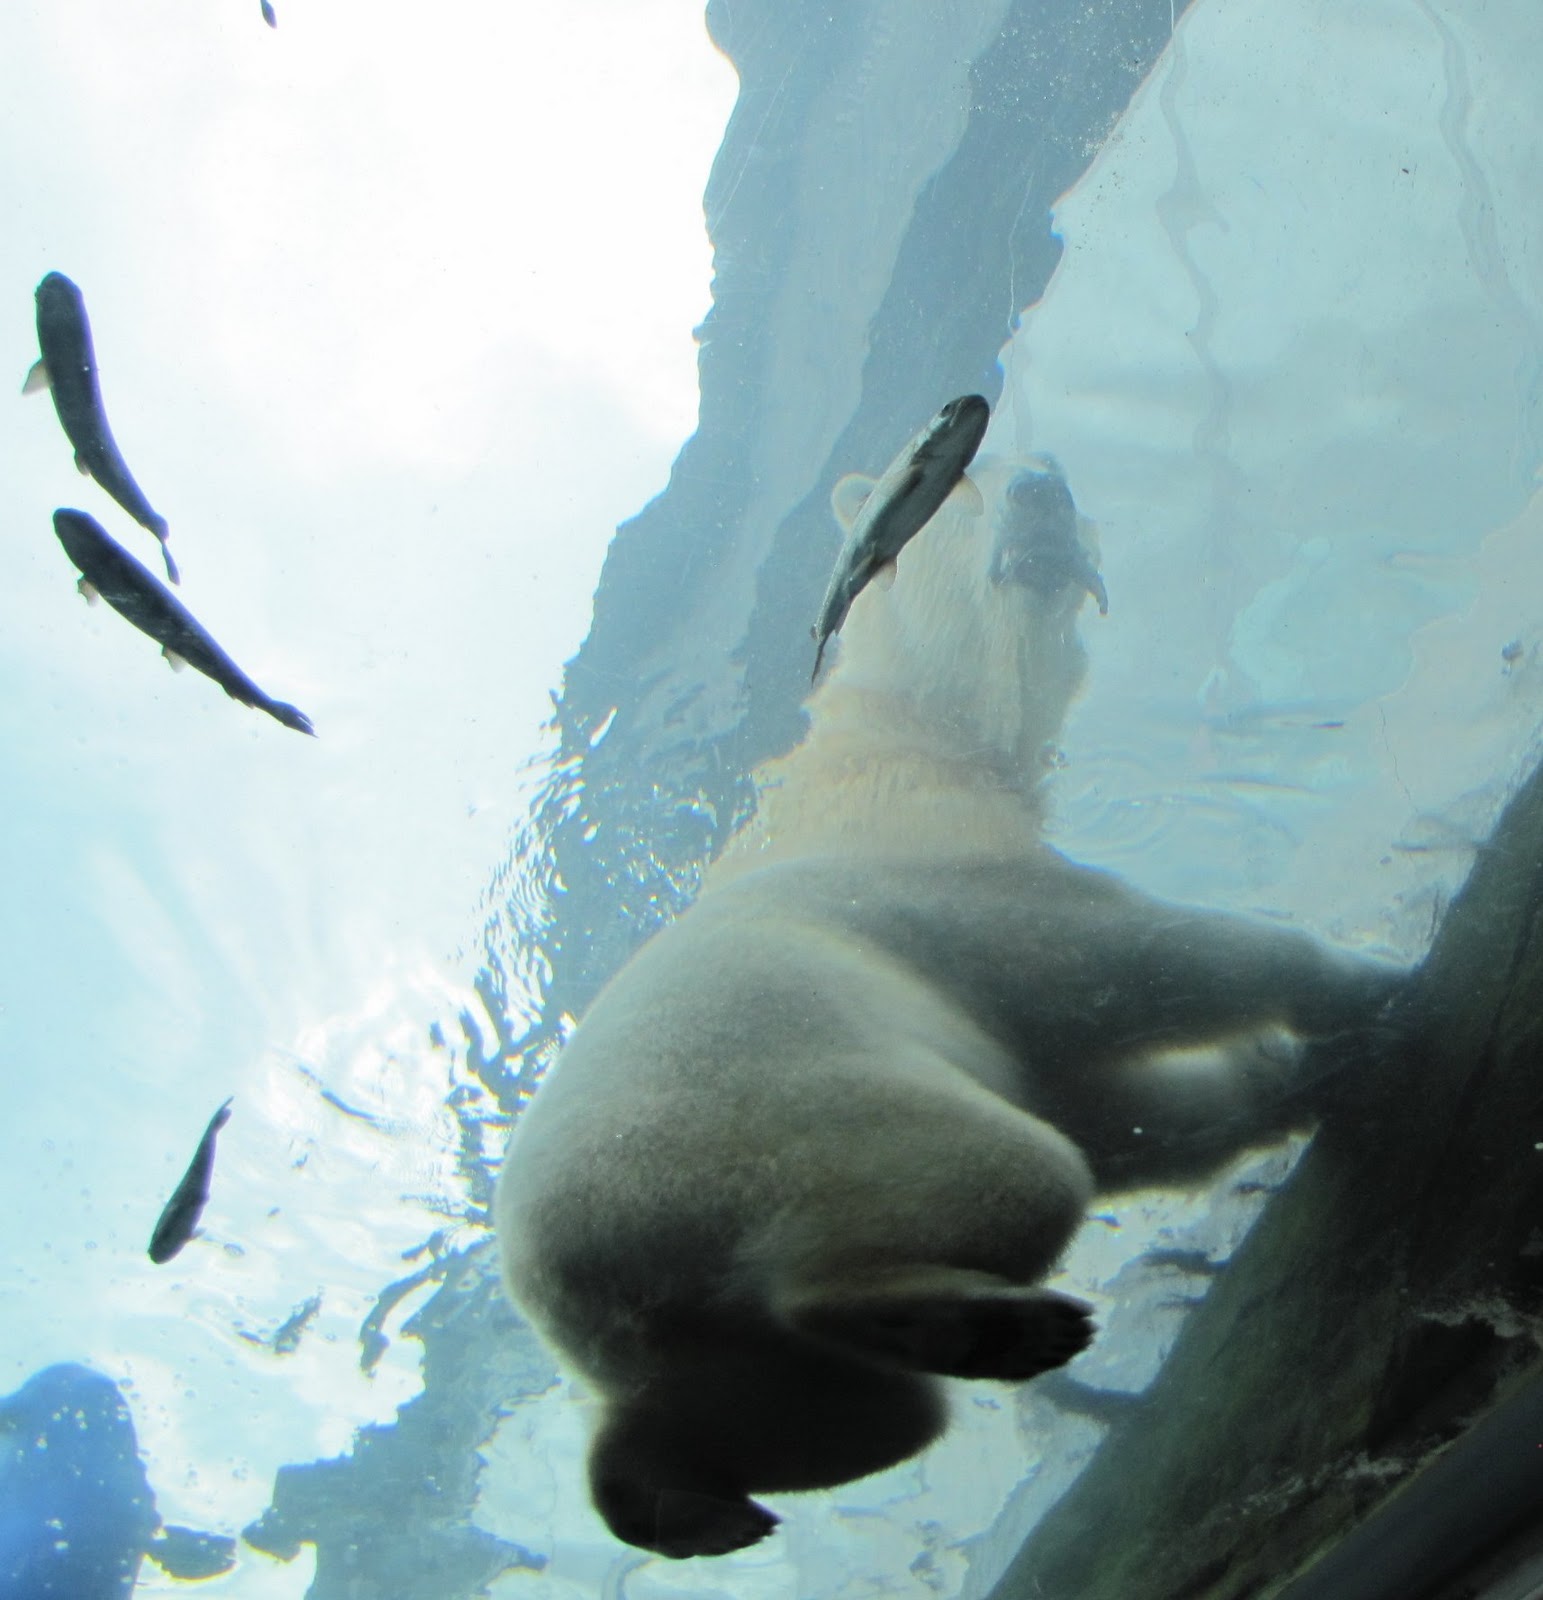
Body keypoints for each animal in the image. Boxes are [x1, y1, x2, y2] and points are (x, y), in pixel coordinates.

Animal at [494, 451, 1400, 1559]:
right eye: (972, 484)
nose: (1044, 484)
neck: (910, 731)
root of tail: (573, 1278)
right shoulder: (940, 866)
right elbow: (1126, 960)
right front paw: (1368, 978)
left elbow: (1120, 1109)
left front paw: (1296, 1069)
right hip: (781, 1117)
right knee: (997, 1179)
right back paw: (975, 1320)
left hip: (692, 1335)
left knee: (830, 1418)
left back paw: (689, 1502)